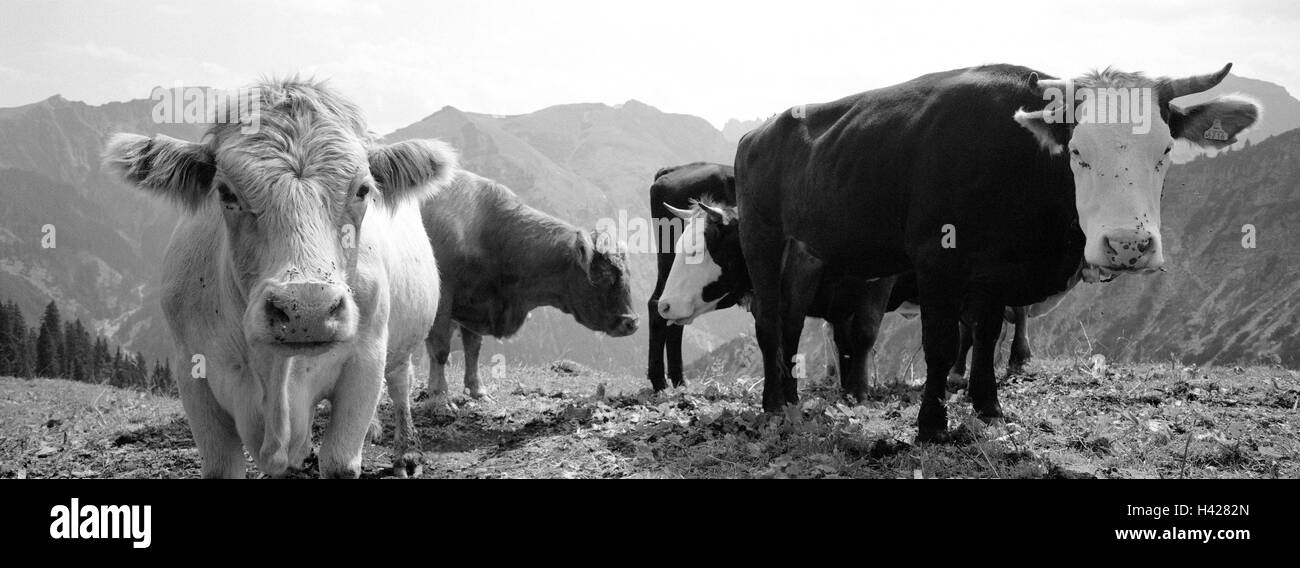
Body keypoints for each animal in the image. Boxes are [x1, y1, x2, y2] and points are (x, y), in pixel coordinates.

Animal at [103, 78, 458, 478]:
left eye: (363, 190)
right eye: (225, 192)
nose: (307, 309)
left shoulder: (365, 361)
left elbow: (340, 460)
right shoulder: (192, 376)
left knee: (399, 383)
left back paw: (406, 453)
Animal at [421, 170, 637, 411]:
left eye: (627, 276)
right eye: (605, 278)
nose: (632, 322)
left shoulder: (474, 304)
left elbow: (473, 348)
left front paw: (478, 391)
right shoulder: (444, 301)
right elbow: (440, 349)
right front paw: (440, 397)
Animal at [735, 63, 1258, 442]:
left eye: (1165, 150)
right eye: (1077, 152)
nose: (1128, 245)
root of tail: (759, 132)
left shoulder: (995, 270)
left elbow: (986, 335)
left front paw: (988, 408)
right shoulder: (936, 258)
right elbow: (942, 343)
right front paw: (932, 426)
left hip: (805, 251)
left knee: (791, 320)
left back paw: (791, 399)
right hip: (760, 236)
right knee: (769, 321)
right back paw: (772, 405)